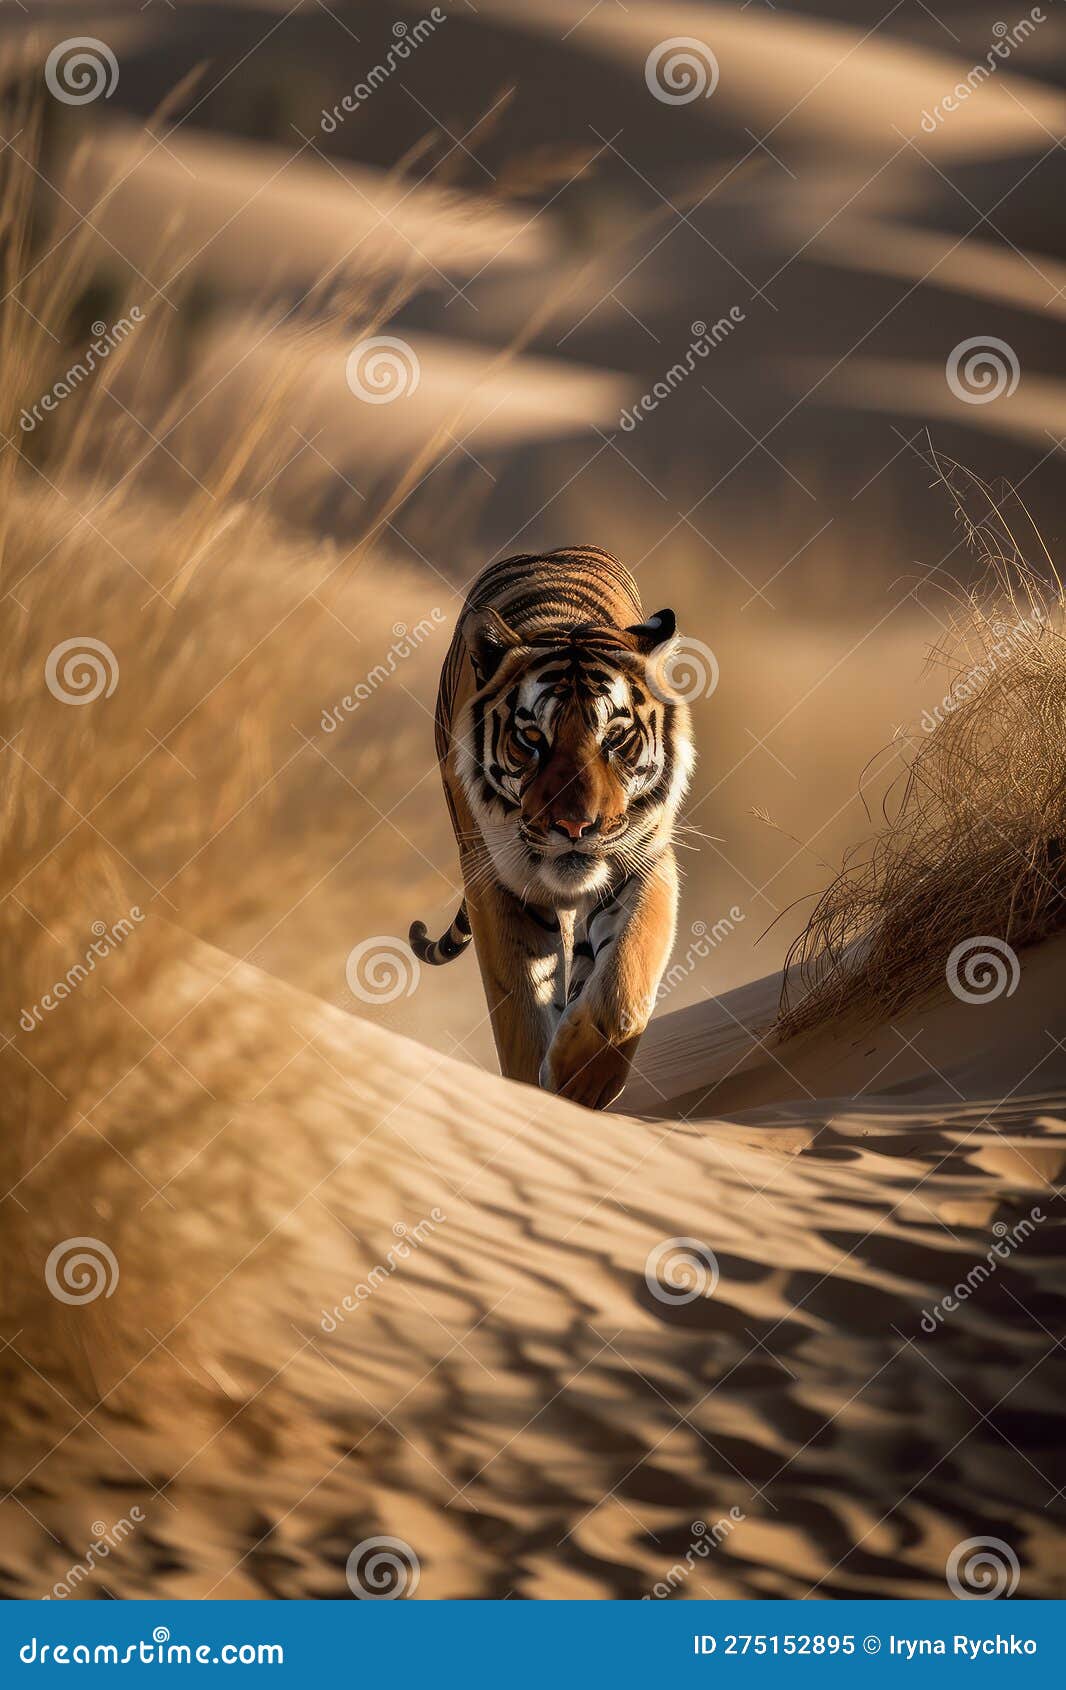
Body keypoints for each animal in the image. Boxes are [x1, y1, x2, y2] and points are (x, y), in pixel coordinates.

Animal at [410, 545, 694, 1110]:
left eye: (616, 739)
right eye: (533, 739)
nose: (575, 825)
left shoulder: (644, 859)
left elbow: (624, 980)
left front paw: (579, 1084)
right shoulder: (495, 881)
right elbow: (519, 1007)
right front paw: (532, 1100)